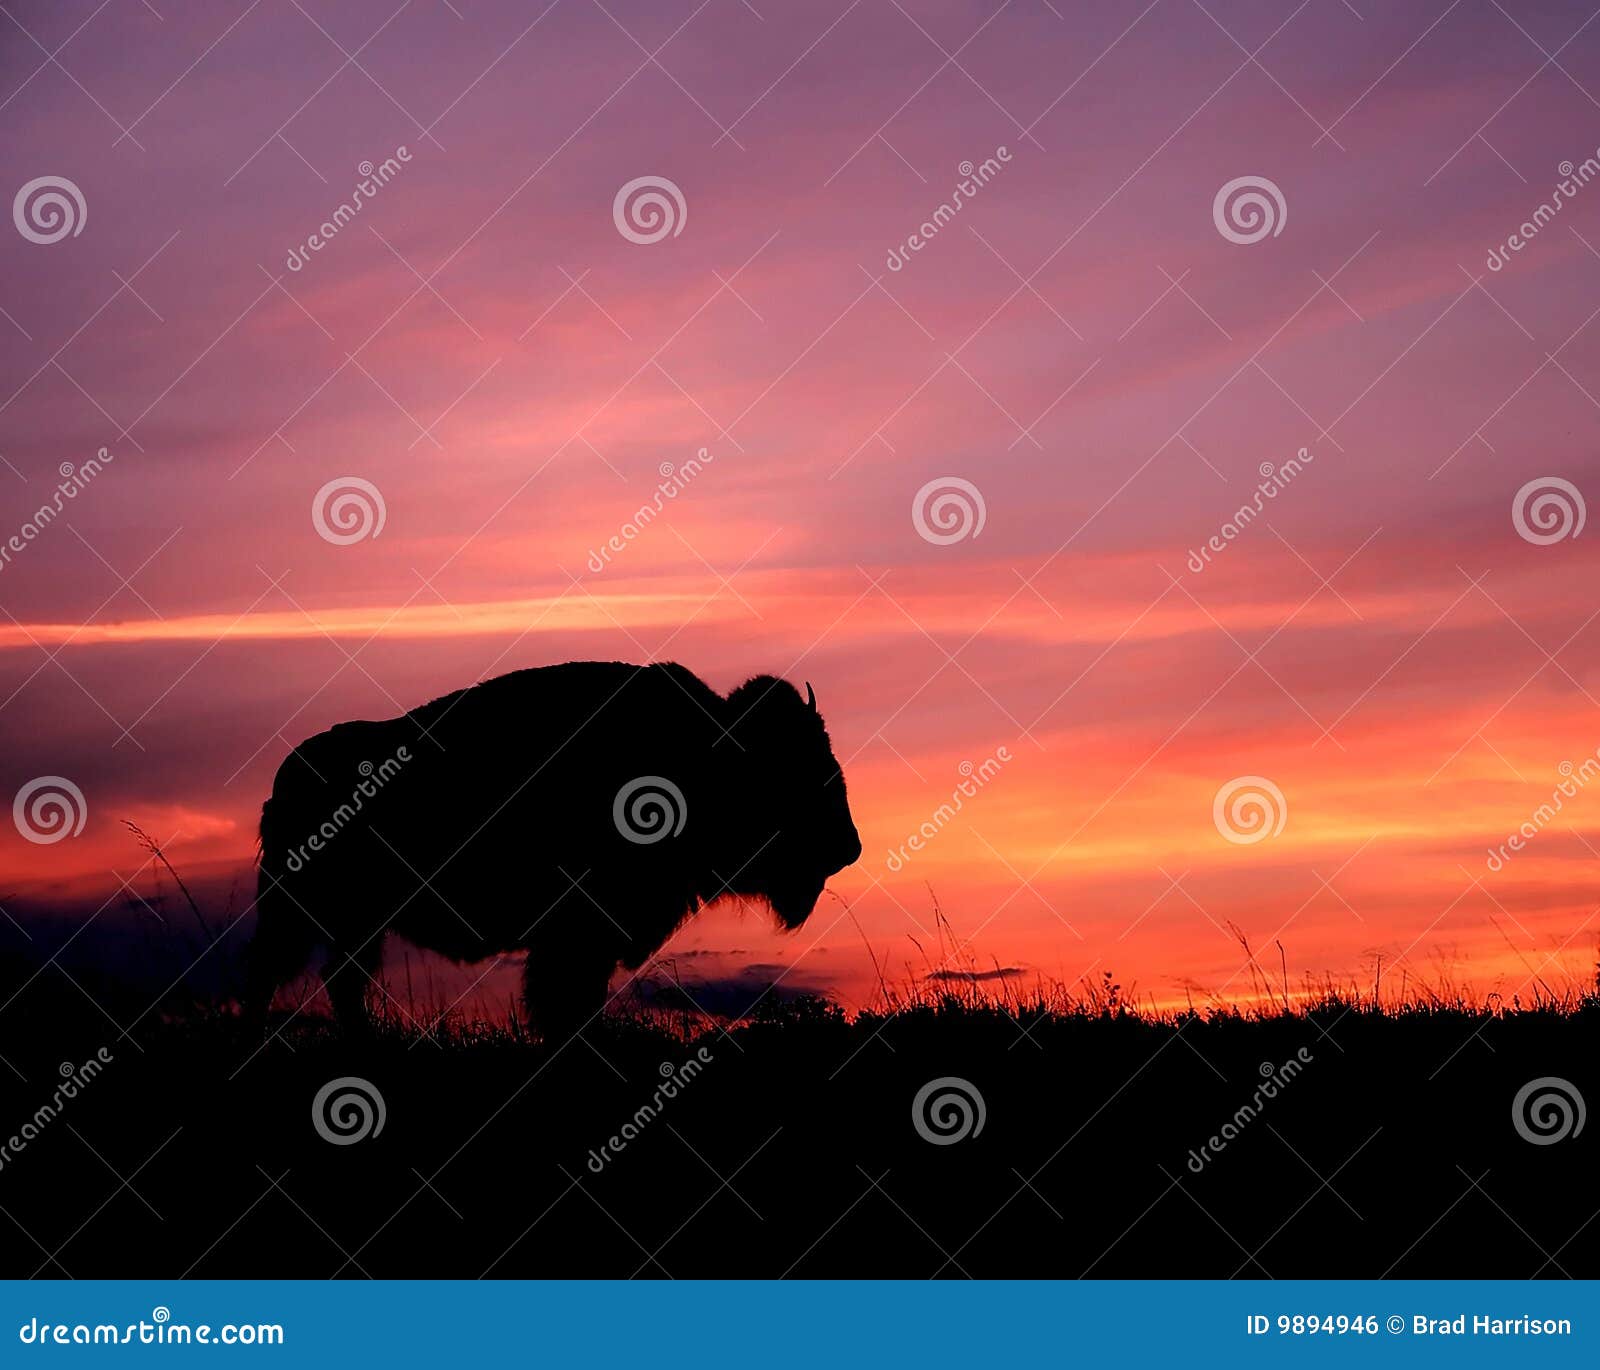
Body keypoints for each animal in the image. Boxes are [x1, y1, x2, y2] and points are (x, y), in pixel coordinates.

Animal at [244, 661, 862, 1039]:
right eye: (795, 763)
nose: (850, 847)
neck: (705, 752)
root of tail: (287, 775)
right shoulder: (578, 930)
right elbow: (564, 994)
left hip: (355, 924)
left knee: (338, 979)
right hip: (302, 913)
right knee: (274, 972)